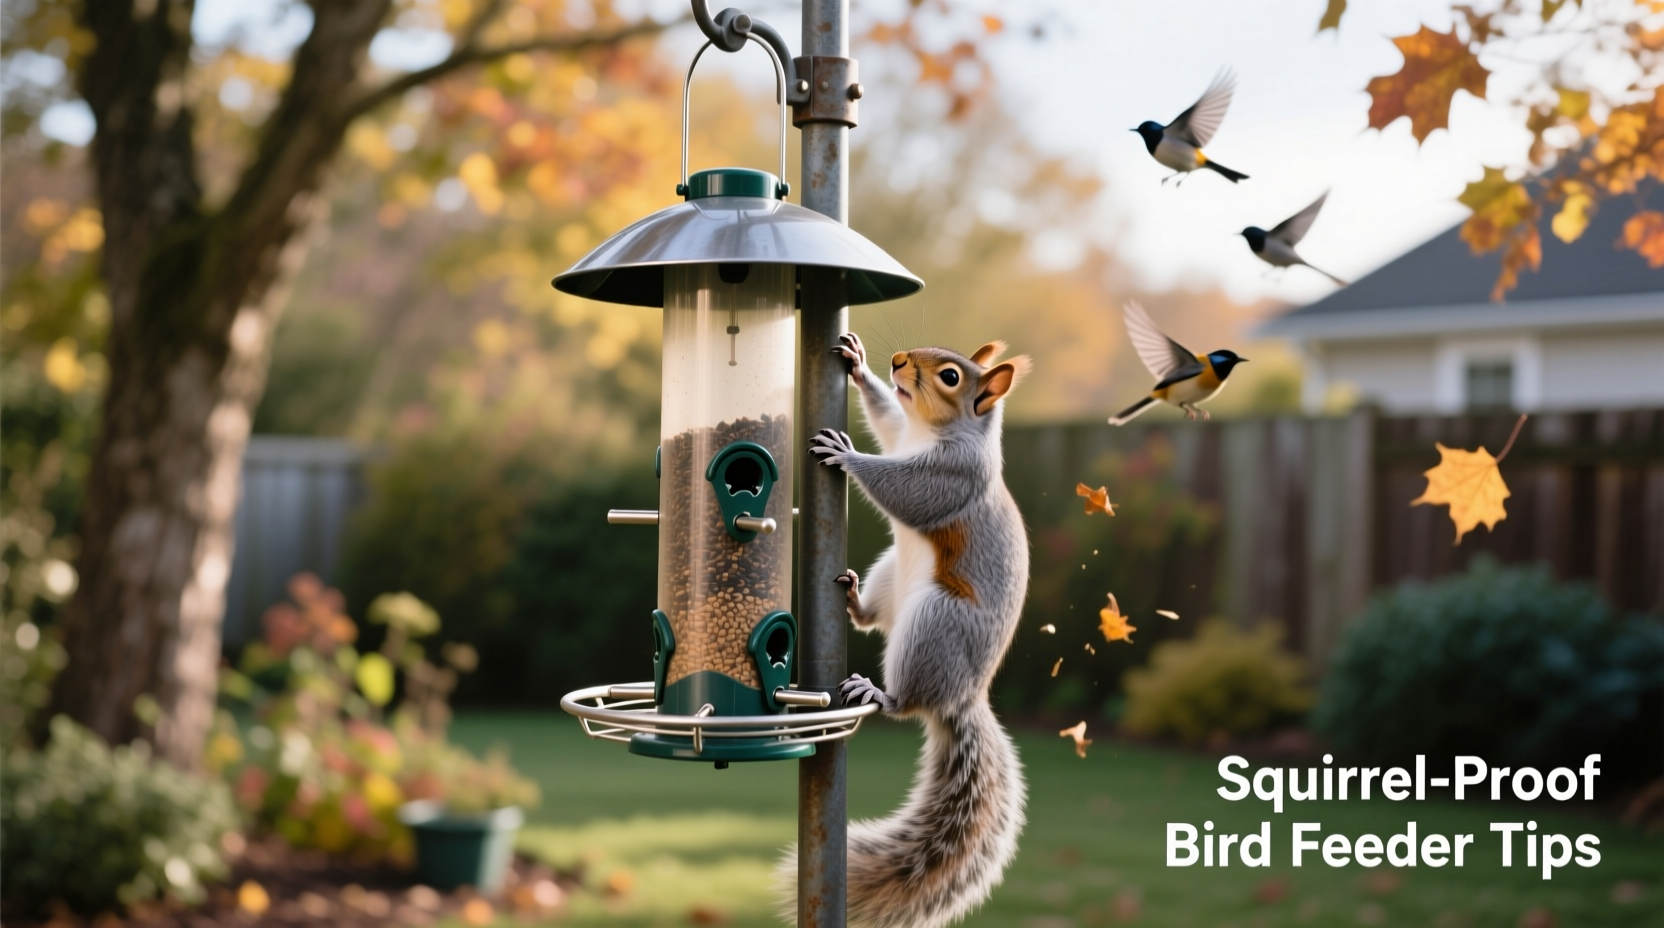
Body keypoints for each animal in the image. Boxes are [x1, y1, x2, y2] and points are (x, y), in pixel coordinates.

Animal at [781, 331, 1032, 928]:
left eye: (950, 377)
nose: (898, 361)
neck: (933, 430)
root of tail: (963, 697)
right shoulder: (902, 435)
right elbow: (888, 420)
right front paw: (857, 365)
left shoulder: (950, 477)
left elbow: (902, 488)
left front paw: (843, 454)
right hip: (890, 574)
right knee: (873, 618)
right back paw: (852, 598)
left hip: (932, 626)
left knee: (905, 699)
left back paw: (878, 692)